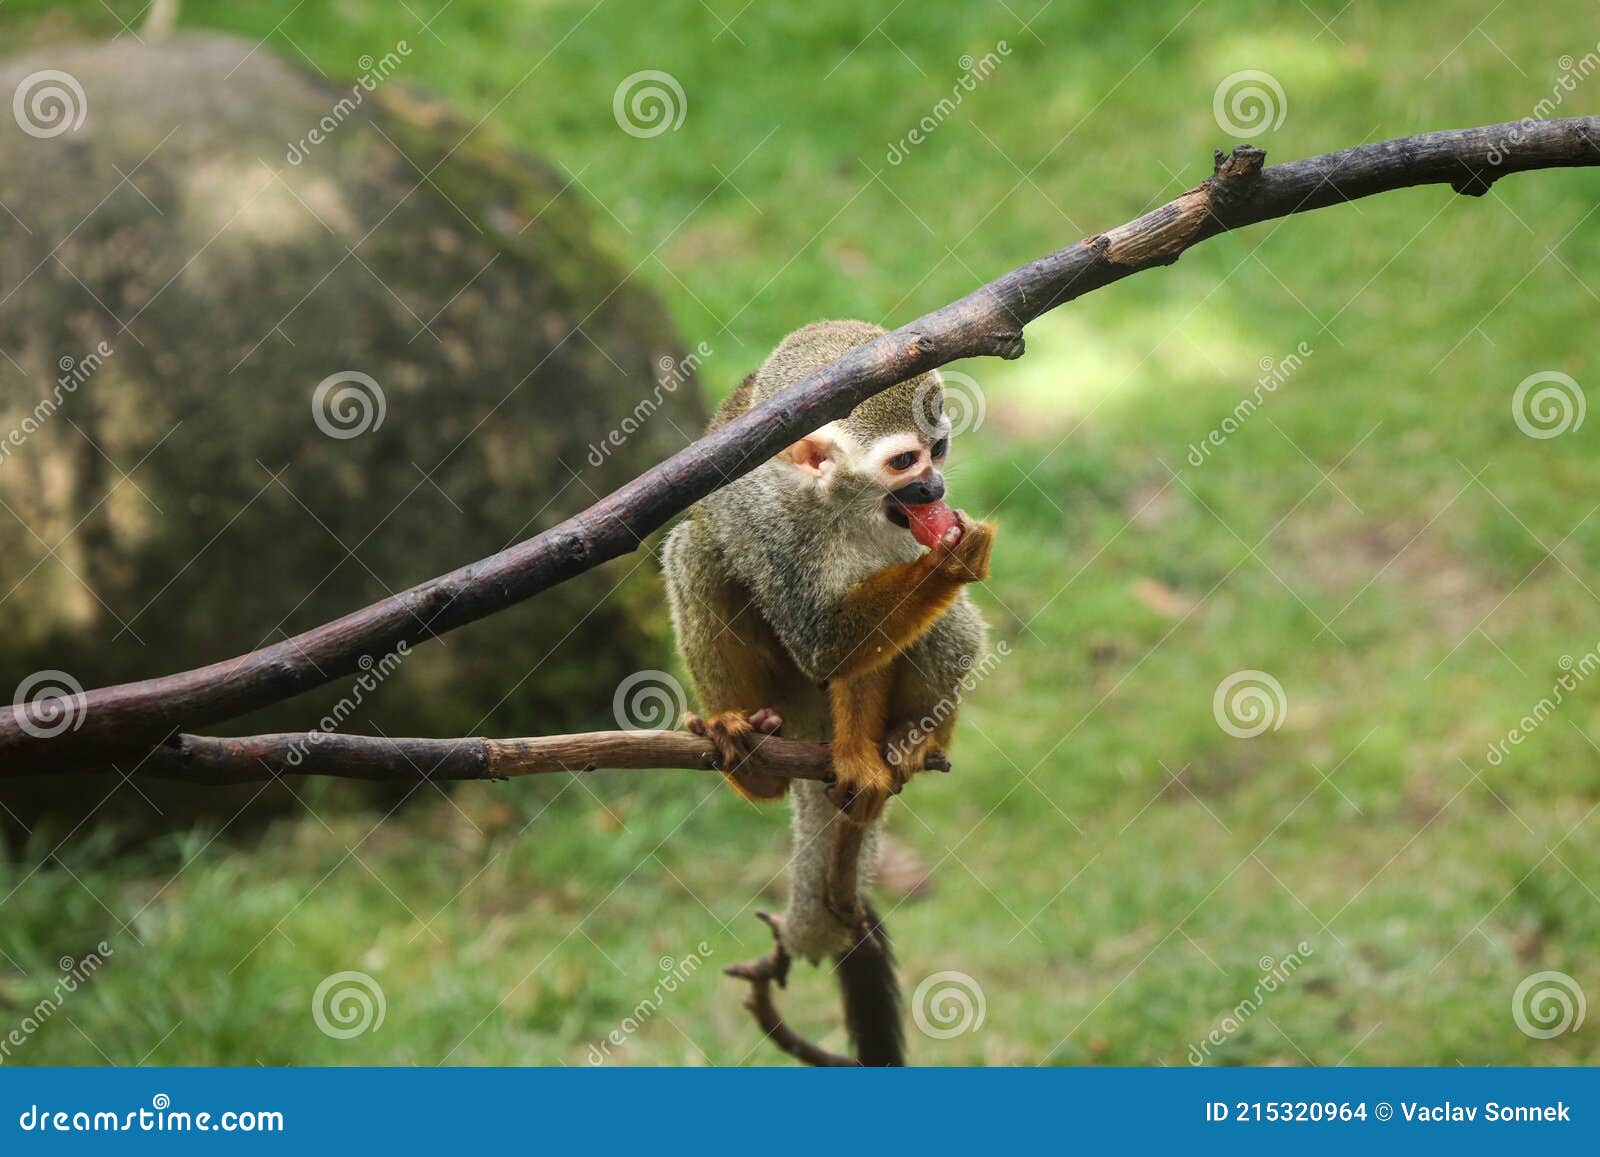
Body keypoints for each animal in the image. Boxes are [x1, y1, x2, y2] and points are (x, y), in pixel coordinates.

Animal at [661, 319, 994, 1065]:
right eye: (905, 461)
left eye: (939, 449)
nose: (935, 486)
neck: (836, 501)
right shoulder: (768, 515)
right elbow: (826, 640)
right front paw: (949, 561)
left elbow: (863, 655)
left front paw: (861, 757)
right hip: (784, 698)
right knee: (698, 549)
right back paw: (748, 755)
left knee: (946, 628)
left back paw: (917, 737)